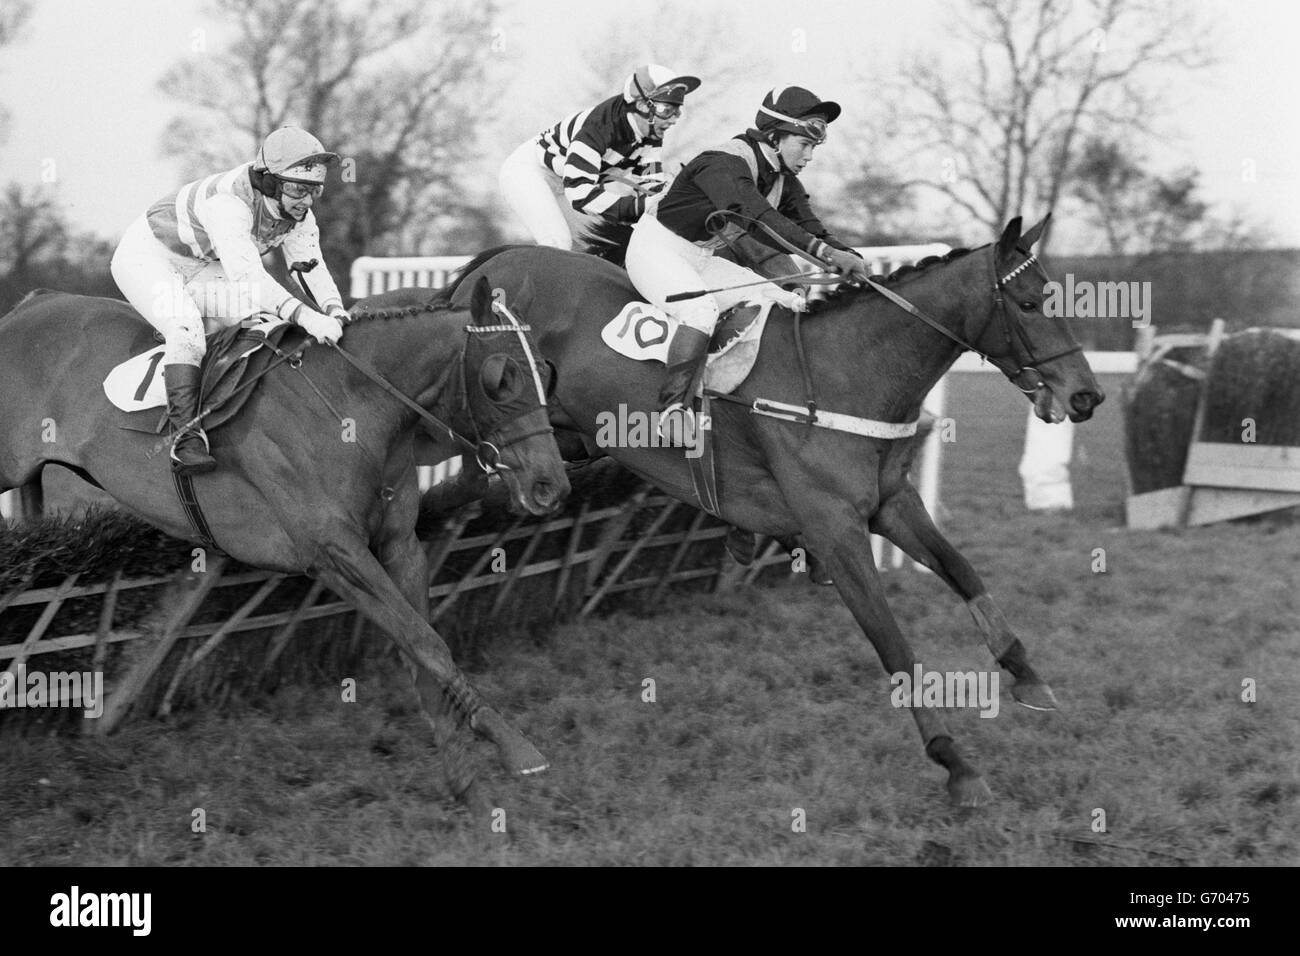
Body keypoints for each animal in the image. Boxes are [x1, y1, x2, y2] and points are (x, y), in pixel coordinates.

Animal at [0, 277, 569, 806]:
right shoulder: (334, 553)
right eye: (500, 377)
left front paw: (466, 785)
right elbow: (425, 641)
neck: (351, 405)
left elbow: (422, 646)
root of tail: (31, 302)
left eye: (546, 371)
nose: (552, 485)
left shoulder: (398, 544)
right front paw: (518, 749)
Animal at [428, 217, 1107, 806]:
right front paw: (955, 762)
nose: (1087, 395)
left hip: (566, 433)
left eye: (1047, 295)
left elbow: (963, 571)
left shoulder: (891, 502)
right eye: (1029, 303)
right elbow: (893, 644)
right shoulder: (834, 529)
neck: (846, 372)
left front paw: (1026, 673)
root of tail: (496, 261)